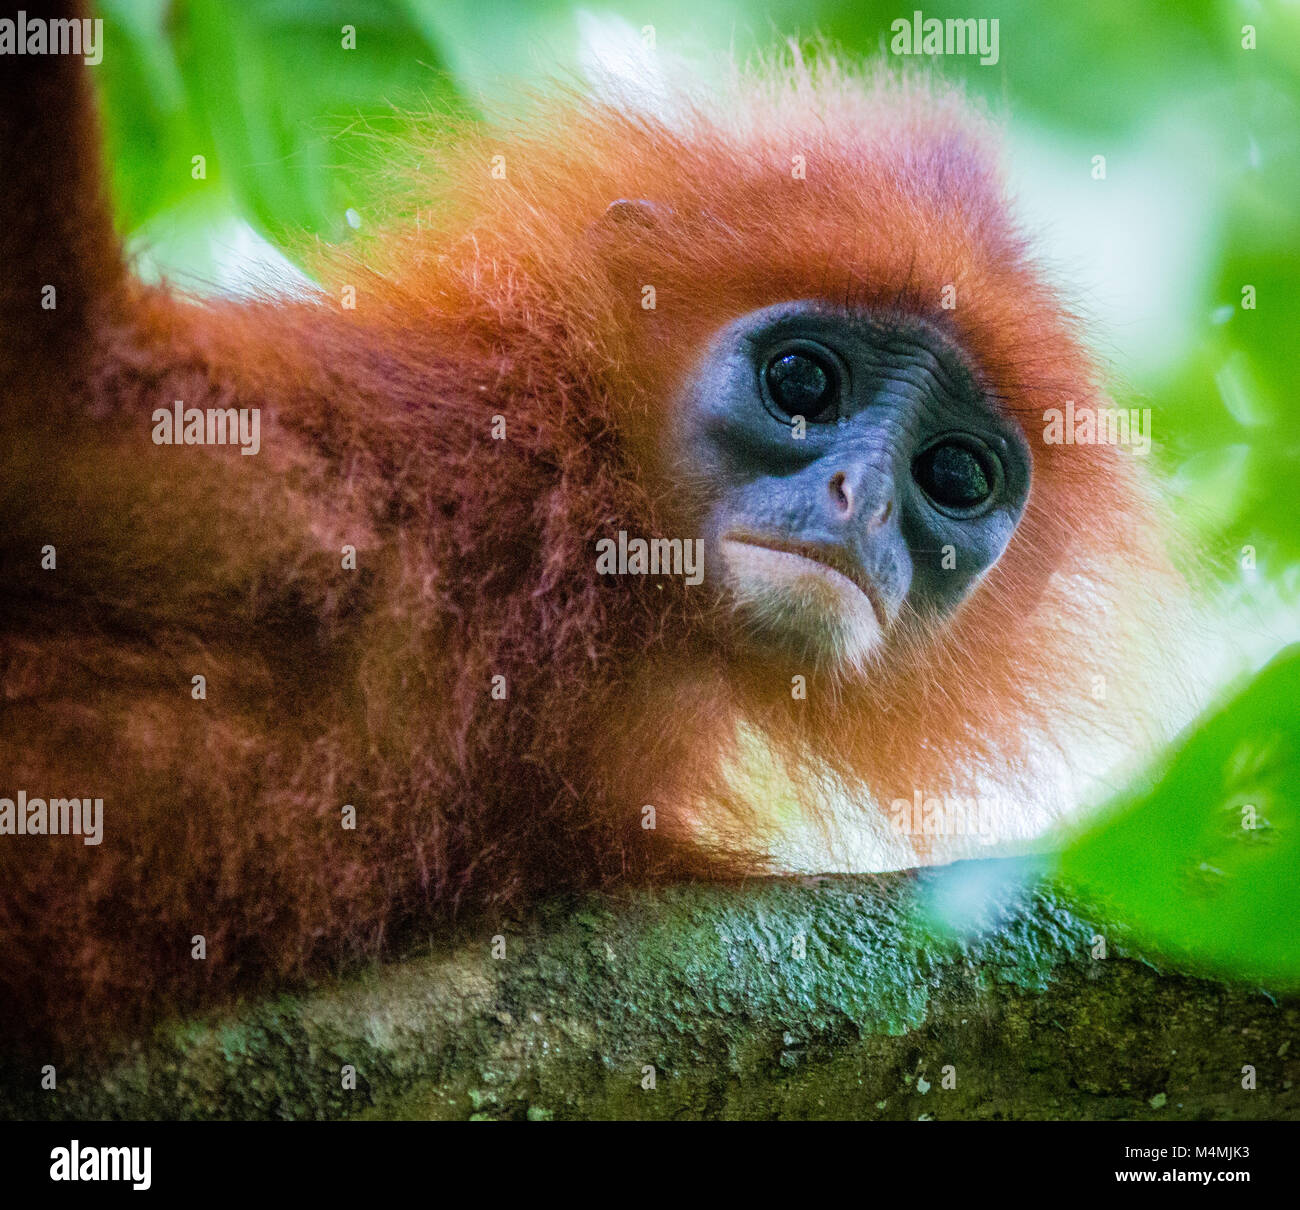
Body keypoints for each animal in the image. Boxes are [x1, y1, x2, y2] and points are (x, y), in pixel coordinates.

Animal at [0, 6, 1183, 1051]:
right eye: (802, 381)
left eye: (953, 474)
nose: (868, 499)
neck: (594, 592)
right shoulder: (404, 461)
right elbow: (51, 399)